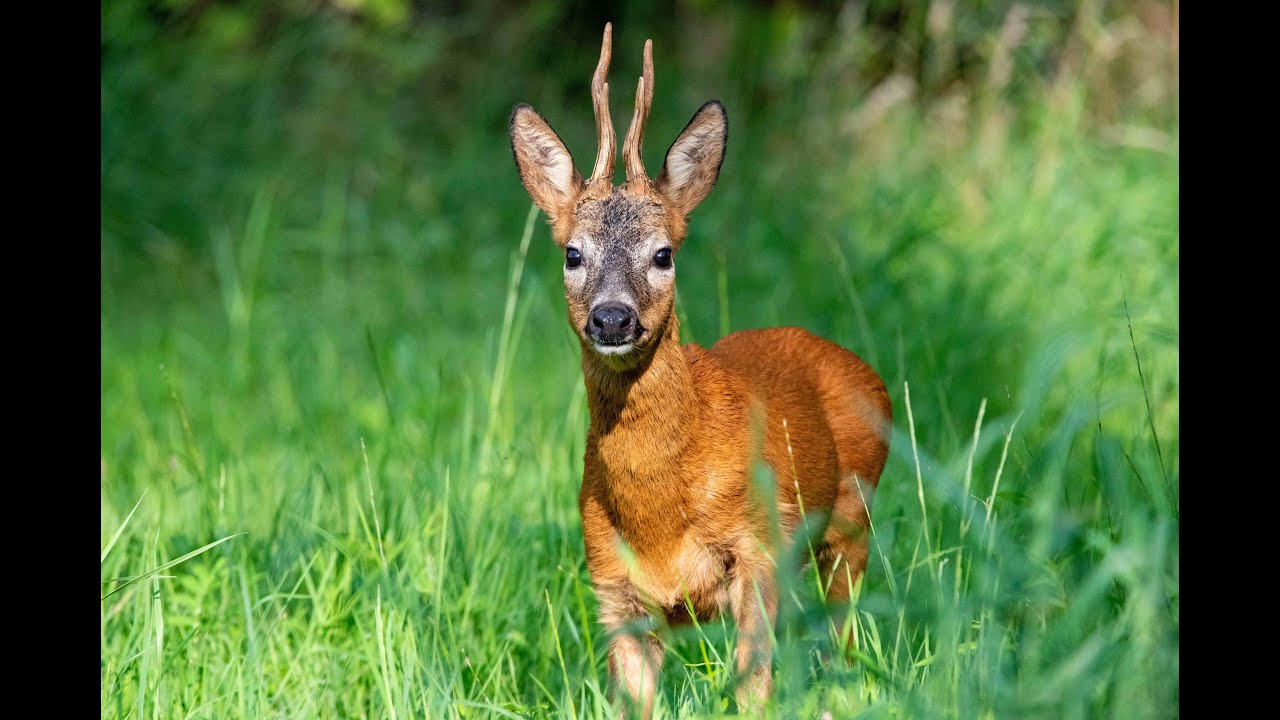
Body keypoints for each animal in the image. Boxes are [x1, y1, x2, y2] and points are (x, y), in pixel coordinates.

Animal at [508, 23, 892, 718]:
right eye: (573, 253)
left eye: (664, 254)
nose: (612, 318)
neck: (661, 509)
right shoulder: (613, 585)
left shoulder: (760, 552)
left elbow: (752, 690)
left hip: (854, 522)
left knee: (840, 648)